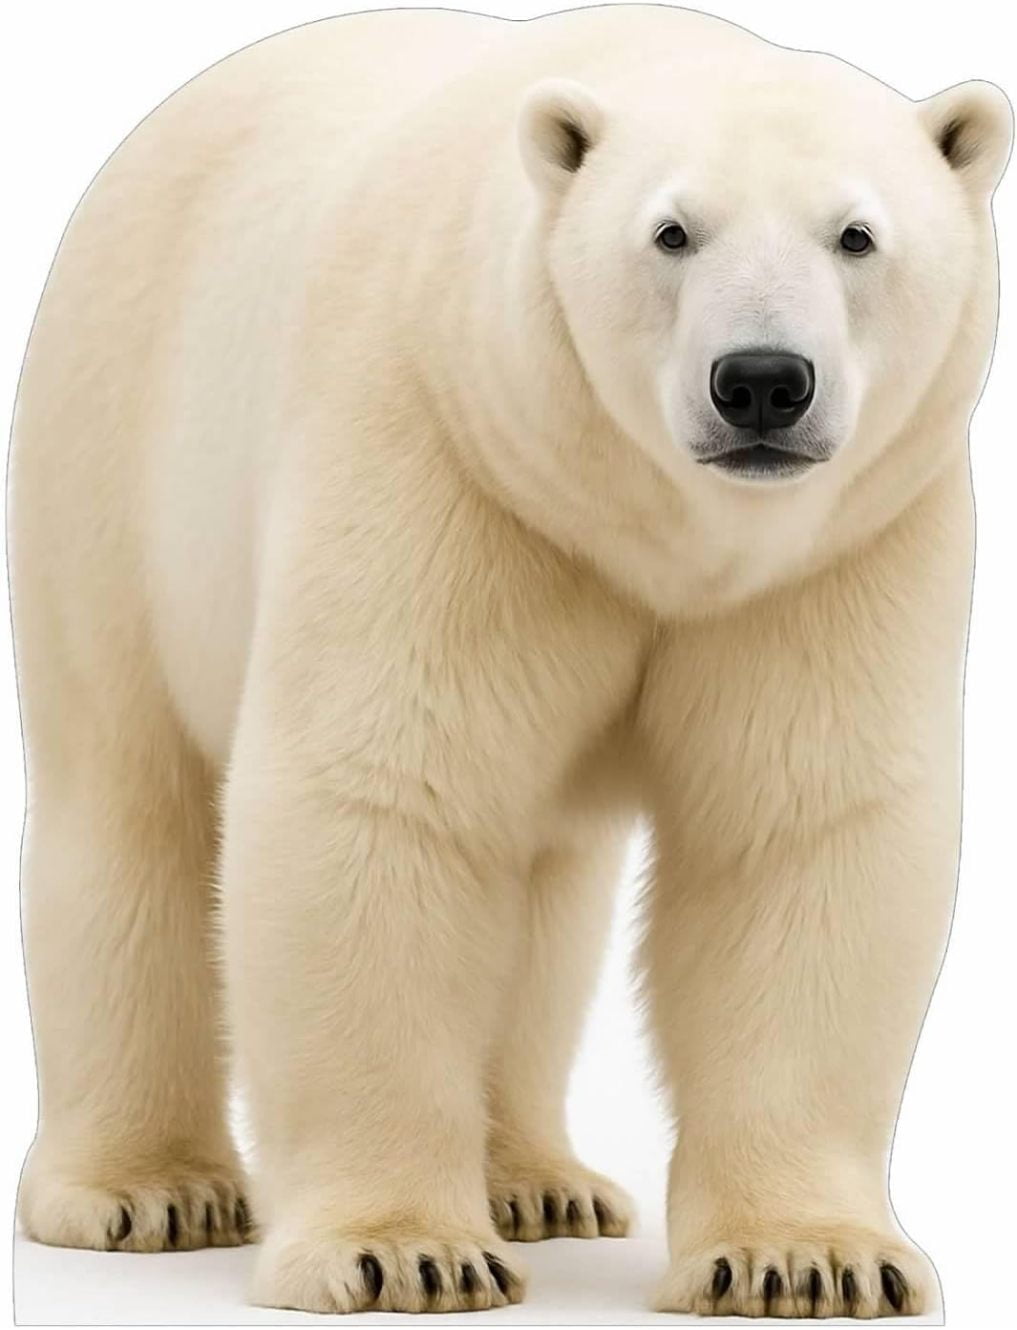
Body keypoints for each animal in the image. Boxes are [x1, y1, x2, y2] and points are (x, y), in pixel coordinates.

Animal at [9, 3, 1010, 1318]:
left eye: (856, 234)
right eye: (671, 231)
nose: (760, 382)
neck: (650, 530)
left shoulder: (846, 545)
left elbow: (799, 830)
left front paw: (808, 1257)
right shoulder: (443, 453)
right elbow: (384, 798)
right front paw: (402, 1250)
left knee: (542, 898)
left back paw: (541, 1181)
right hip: (114, 453)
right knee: (128, 805)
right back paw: (149, 1189)